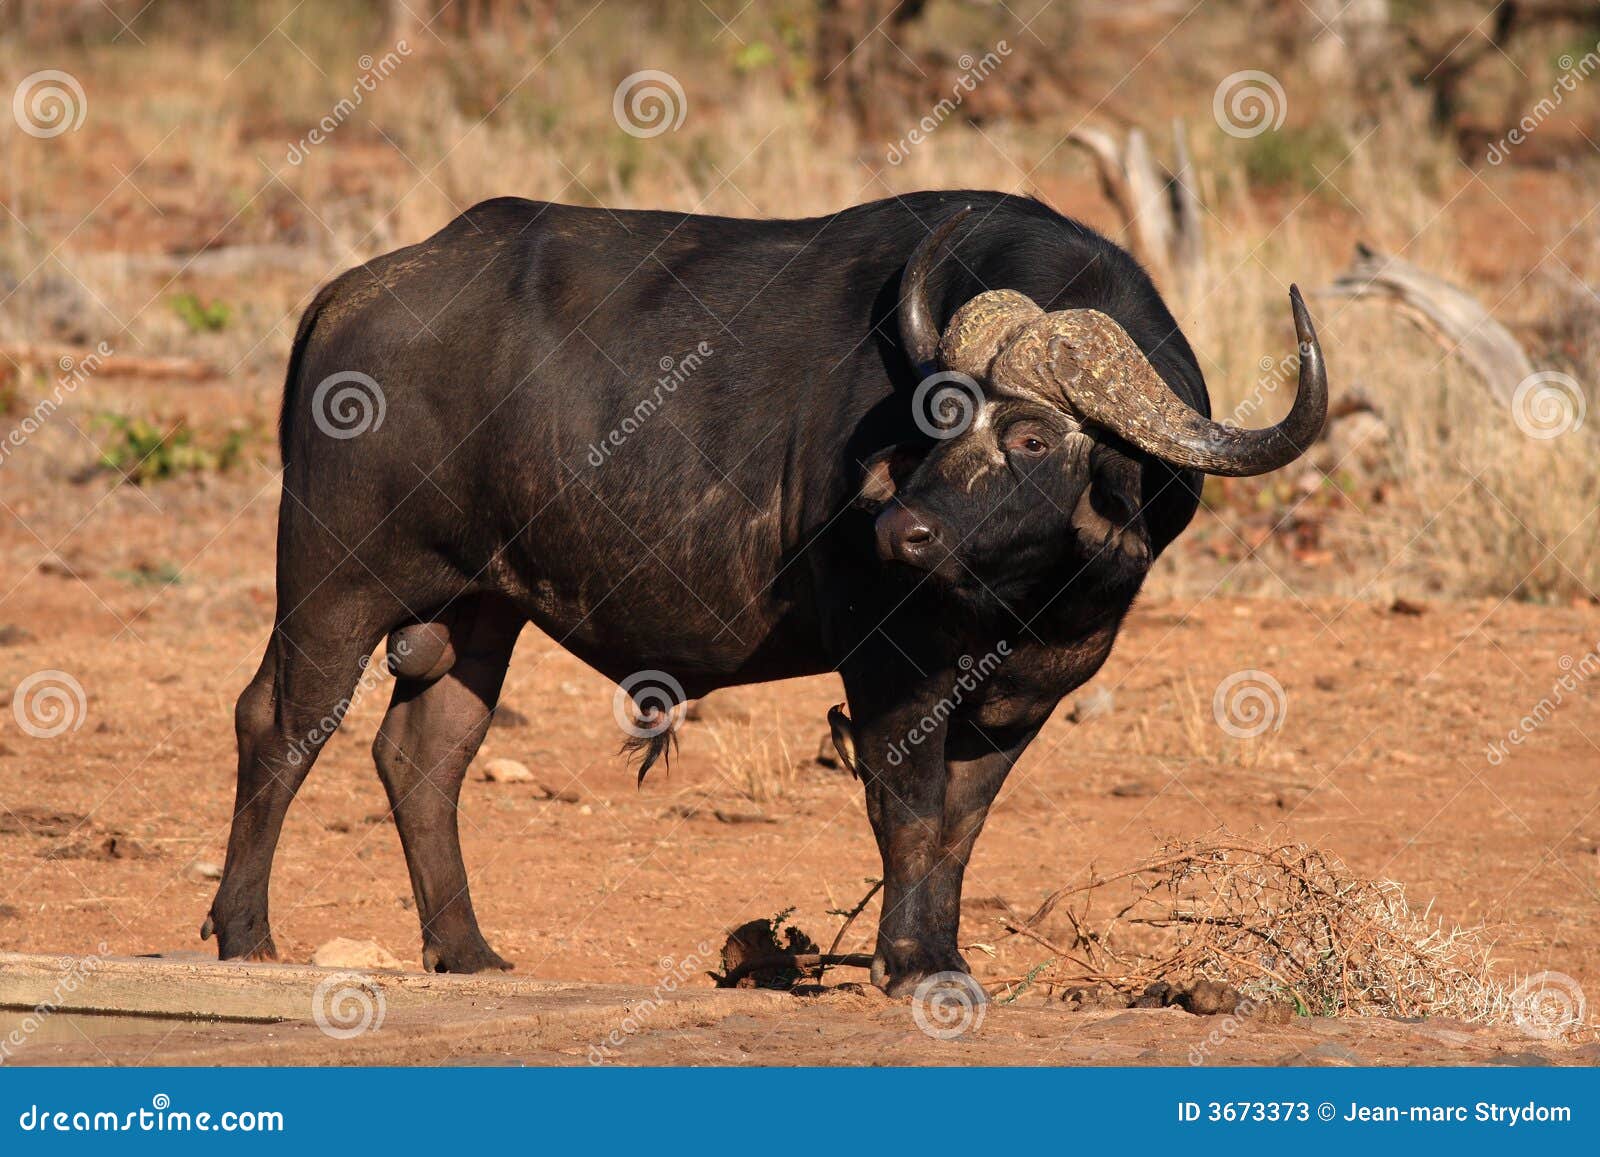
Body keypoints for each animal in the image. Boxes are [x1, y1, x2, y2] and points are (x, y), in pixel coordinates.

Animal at [204, 190, 1326, 994]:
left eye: (1030, 436)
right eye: (938, 409)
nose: (897, 530)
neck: (1018, 594)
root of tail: (347, 295)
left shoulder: (1032, 694)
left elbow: (961, 825)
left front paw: (943, 950)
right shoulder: (890, 671)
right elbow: (908, 808)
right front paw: (912, 964)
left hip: (481, 607)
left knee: (422, 753)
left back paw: (466, 948)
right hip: (337, 578)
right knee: (280, 721)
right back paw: (246, 932)